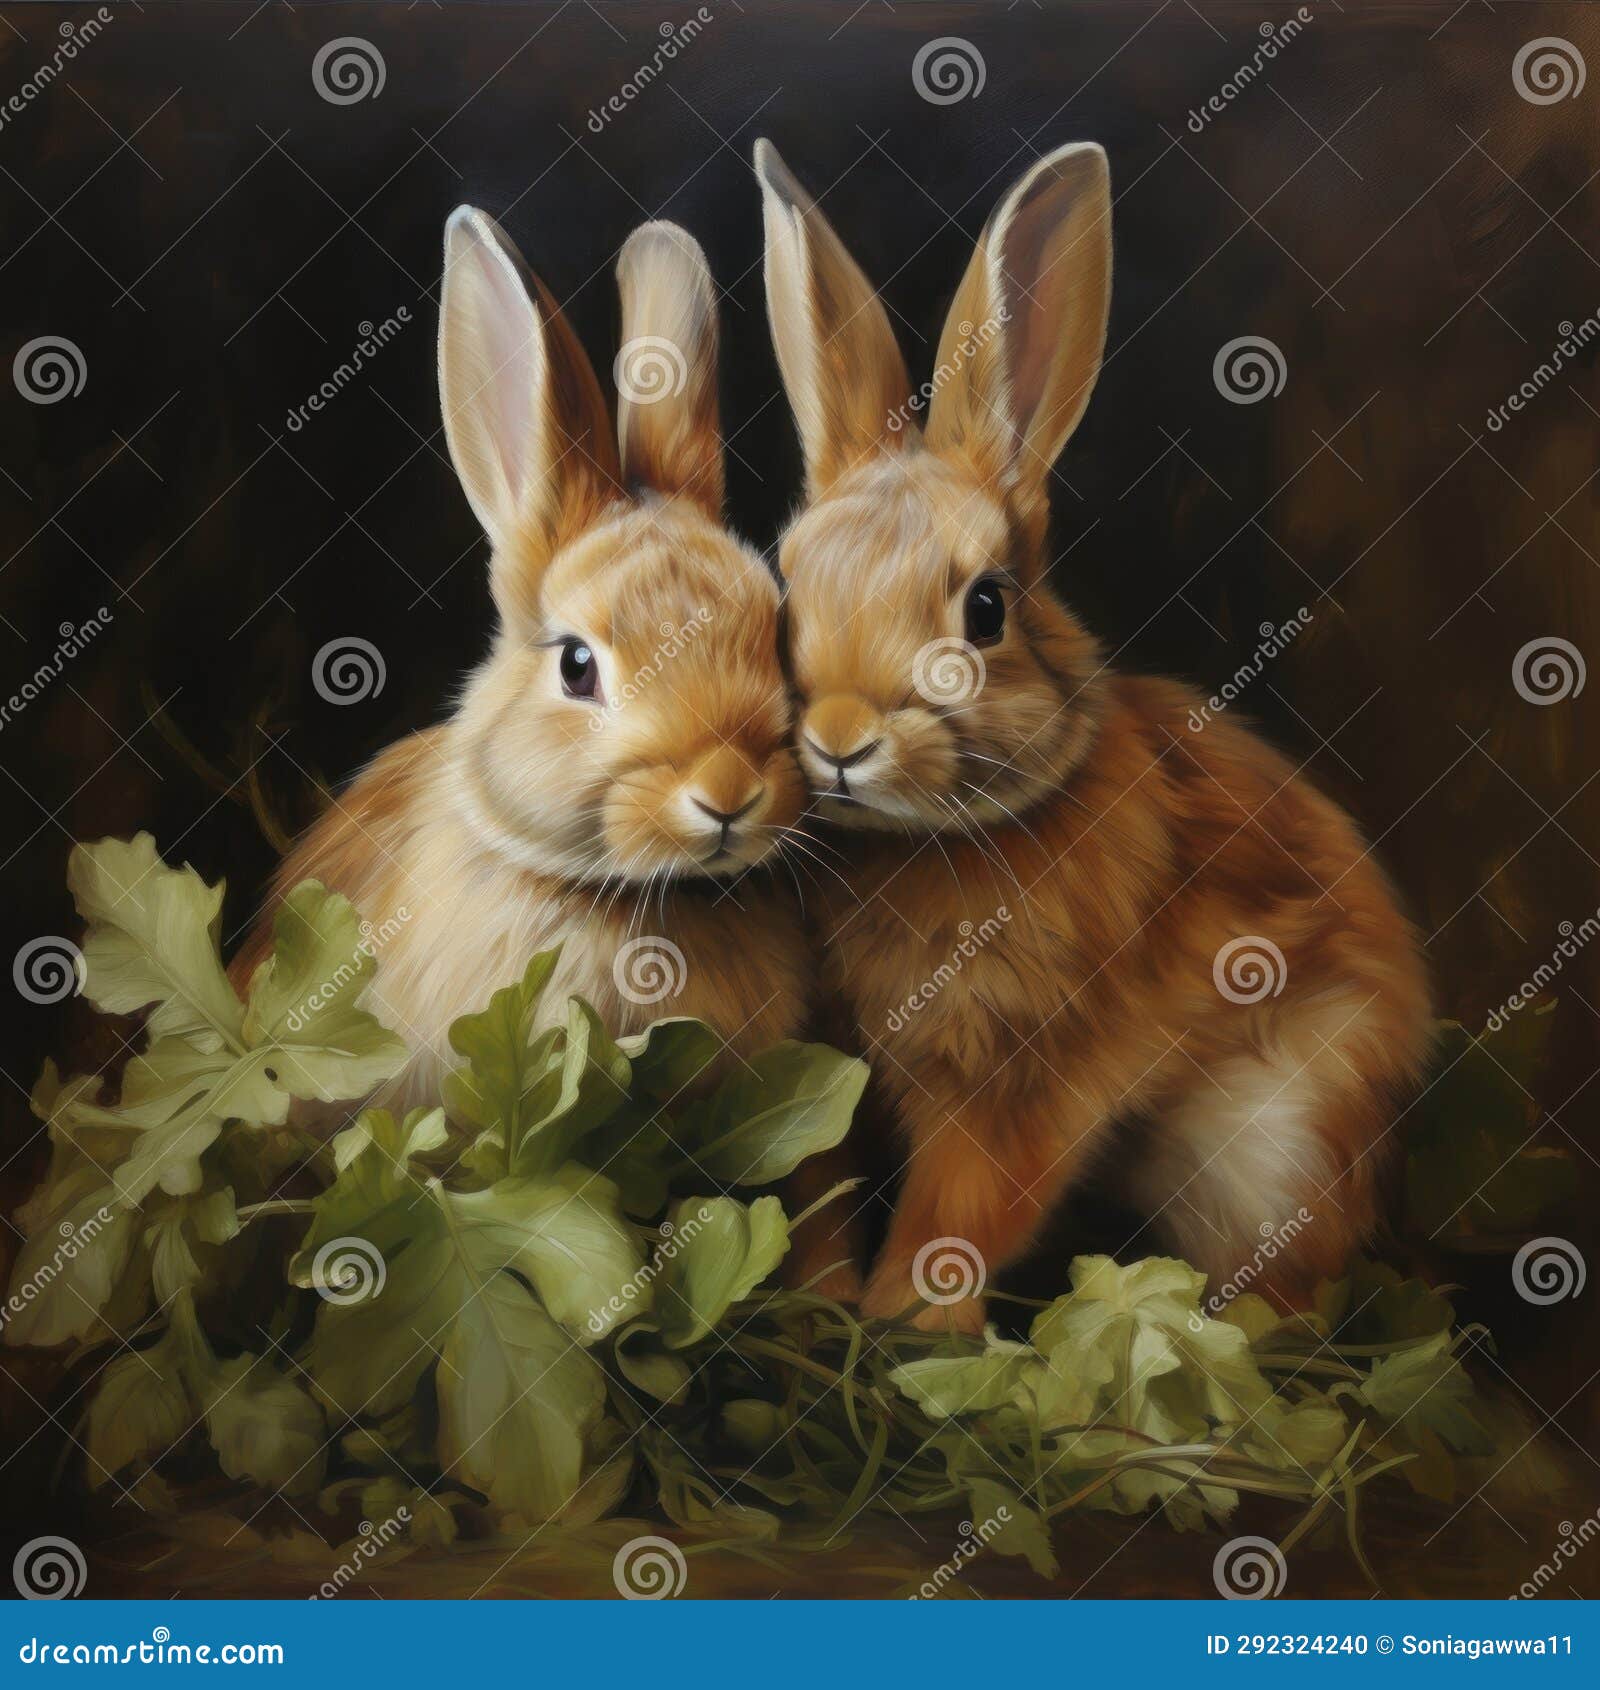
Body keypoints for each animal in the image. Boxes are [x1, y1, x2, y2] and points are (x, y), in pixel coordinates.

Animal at [754, 138, 1433, 1331]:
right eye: (786, 588)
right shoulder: (825, 1061)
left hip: (1280, 1151)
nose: (837, 736)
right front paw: (819, 1306)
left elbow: (958, 1211)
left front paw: (901, 1325)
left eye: (985, 609)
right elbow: (818, 1184)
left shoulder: (1027, 1074)